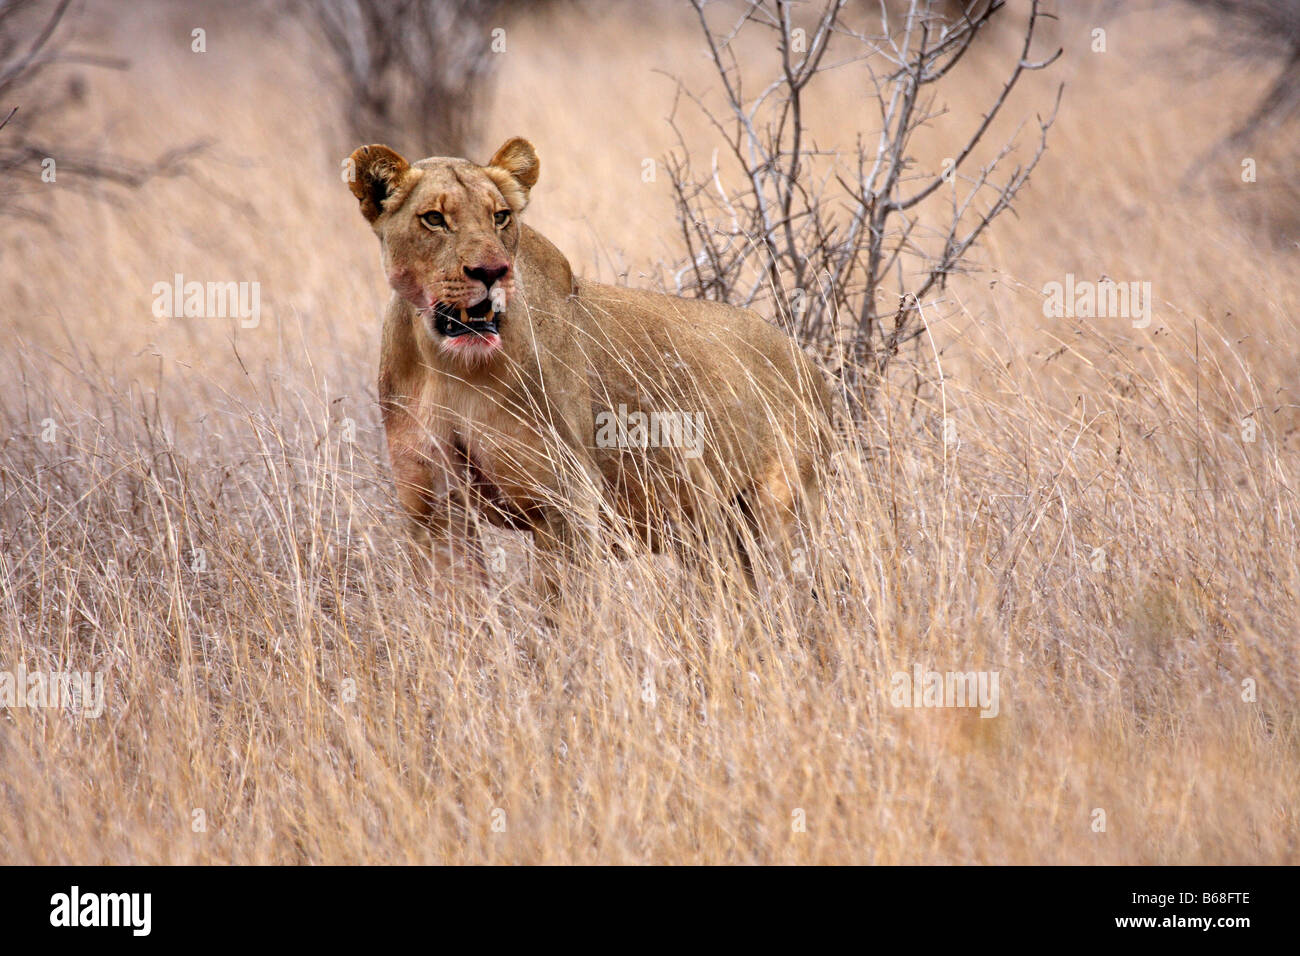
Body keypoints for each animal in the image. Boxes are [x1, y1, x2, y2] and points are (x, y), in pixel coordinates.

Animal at [345, 136, 835, 611]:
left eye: (500, 217)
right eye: (433, 219)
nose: (492, 272)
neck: (449, 368)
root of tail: (807, 360)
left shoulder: (566, 498)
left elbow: (565, 610)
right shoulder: (434, 507)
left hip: (787, 513)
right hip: (707, 531)